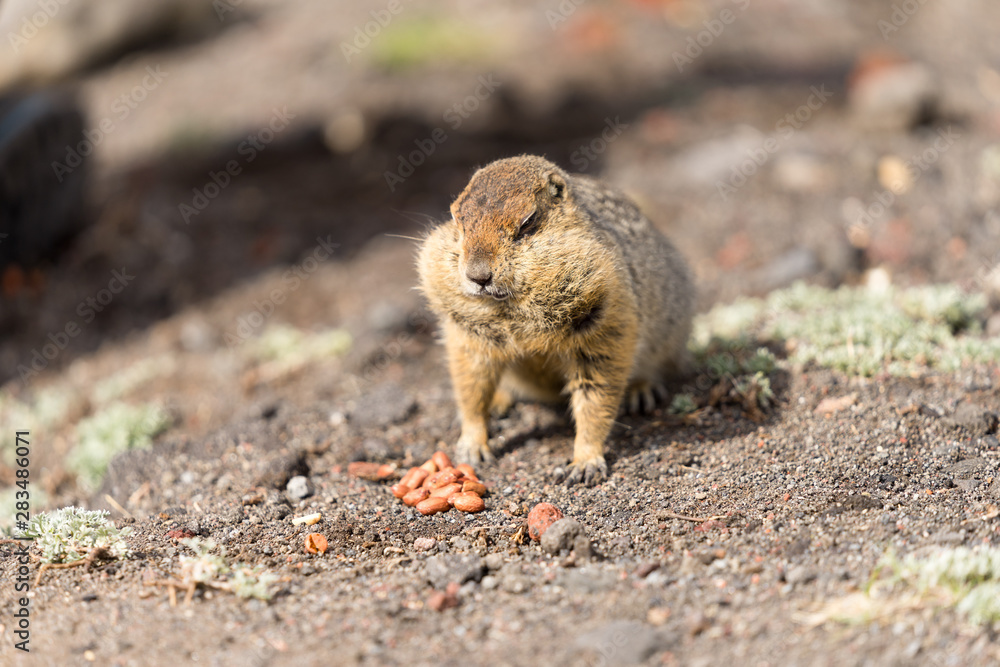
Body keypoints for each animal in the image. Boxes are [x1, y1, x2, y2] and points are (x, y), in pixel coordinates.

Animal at [417, 155, 694, 485]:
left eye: (528, 222)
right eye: (455, 219)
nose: (477, 275)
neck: (511, 310)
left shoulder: (605, 323)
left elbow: (596, 394)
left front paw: (584, 462)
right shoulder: (468, 338)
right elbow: (470, 388)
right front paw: (471, 447)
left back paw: (641, 391)